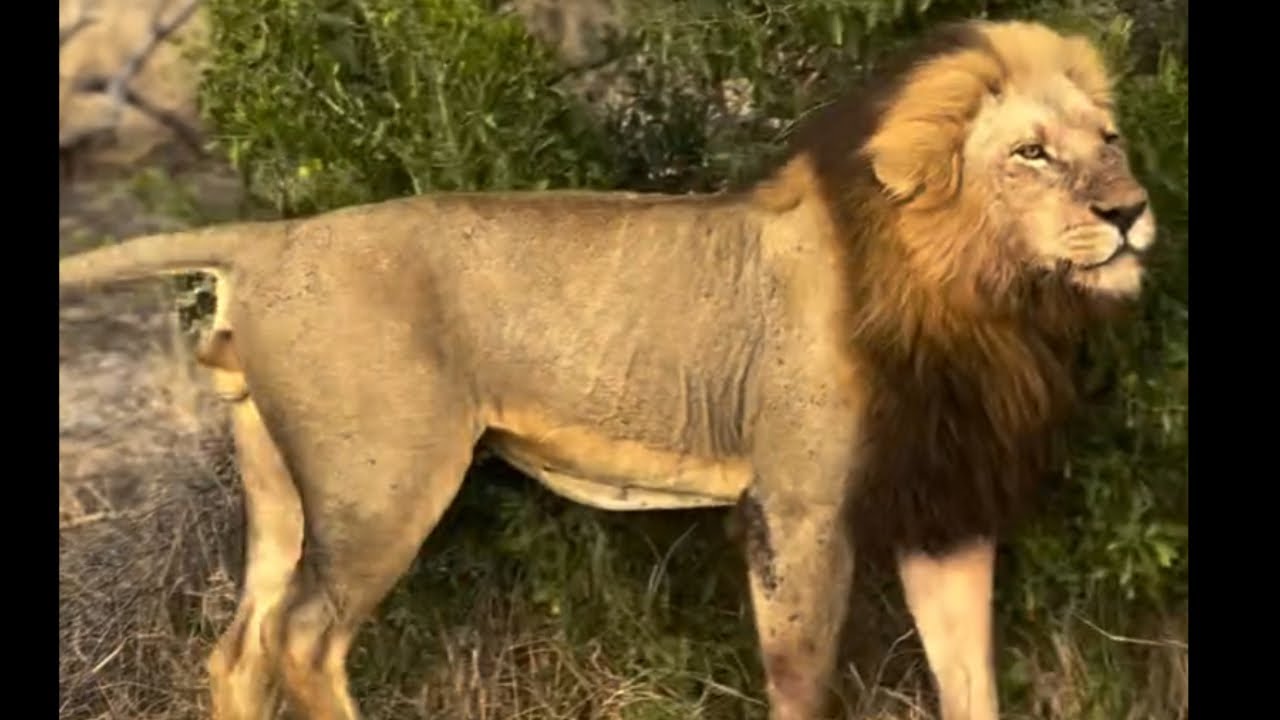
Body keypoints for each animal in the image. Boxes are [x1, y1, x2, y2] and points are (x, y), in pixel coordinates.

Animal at [58, 18, 1156, 720]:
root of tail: (274, 240)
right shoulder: (798, 507)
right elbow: (803, 682)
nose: (1130, 210)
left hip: (283, 492)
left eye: (1107, 140)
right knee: (303, 639)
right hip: (384, 484)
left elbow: (971, 683)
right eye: (1029, 154)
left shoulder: (945, 514)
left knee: (238, 651)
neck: (984, 300)